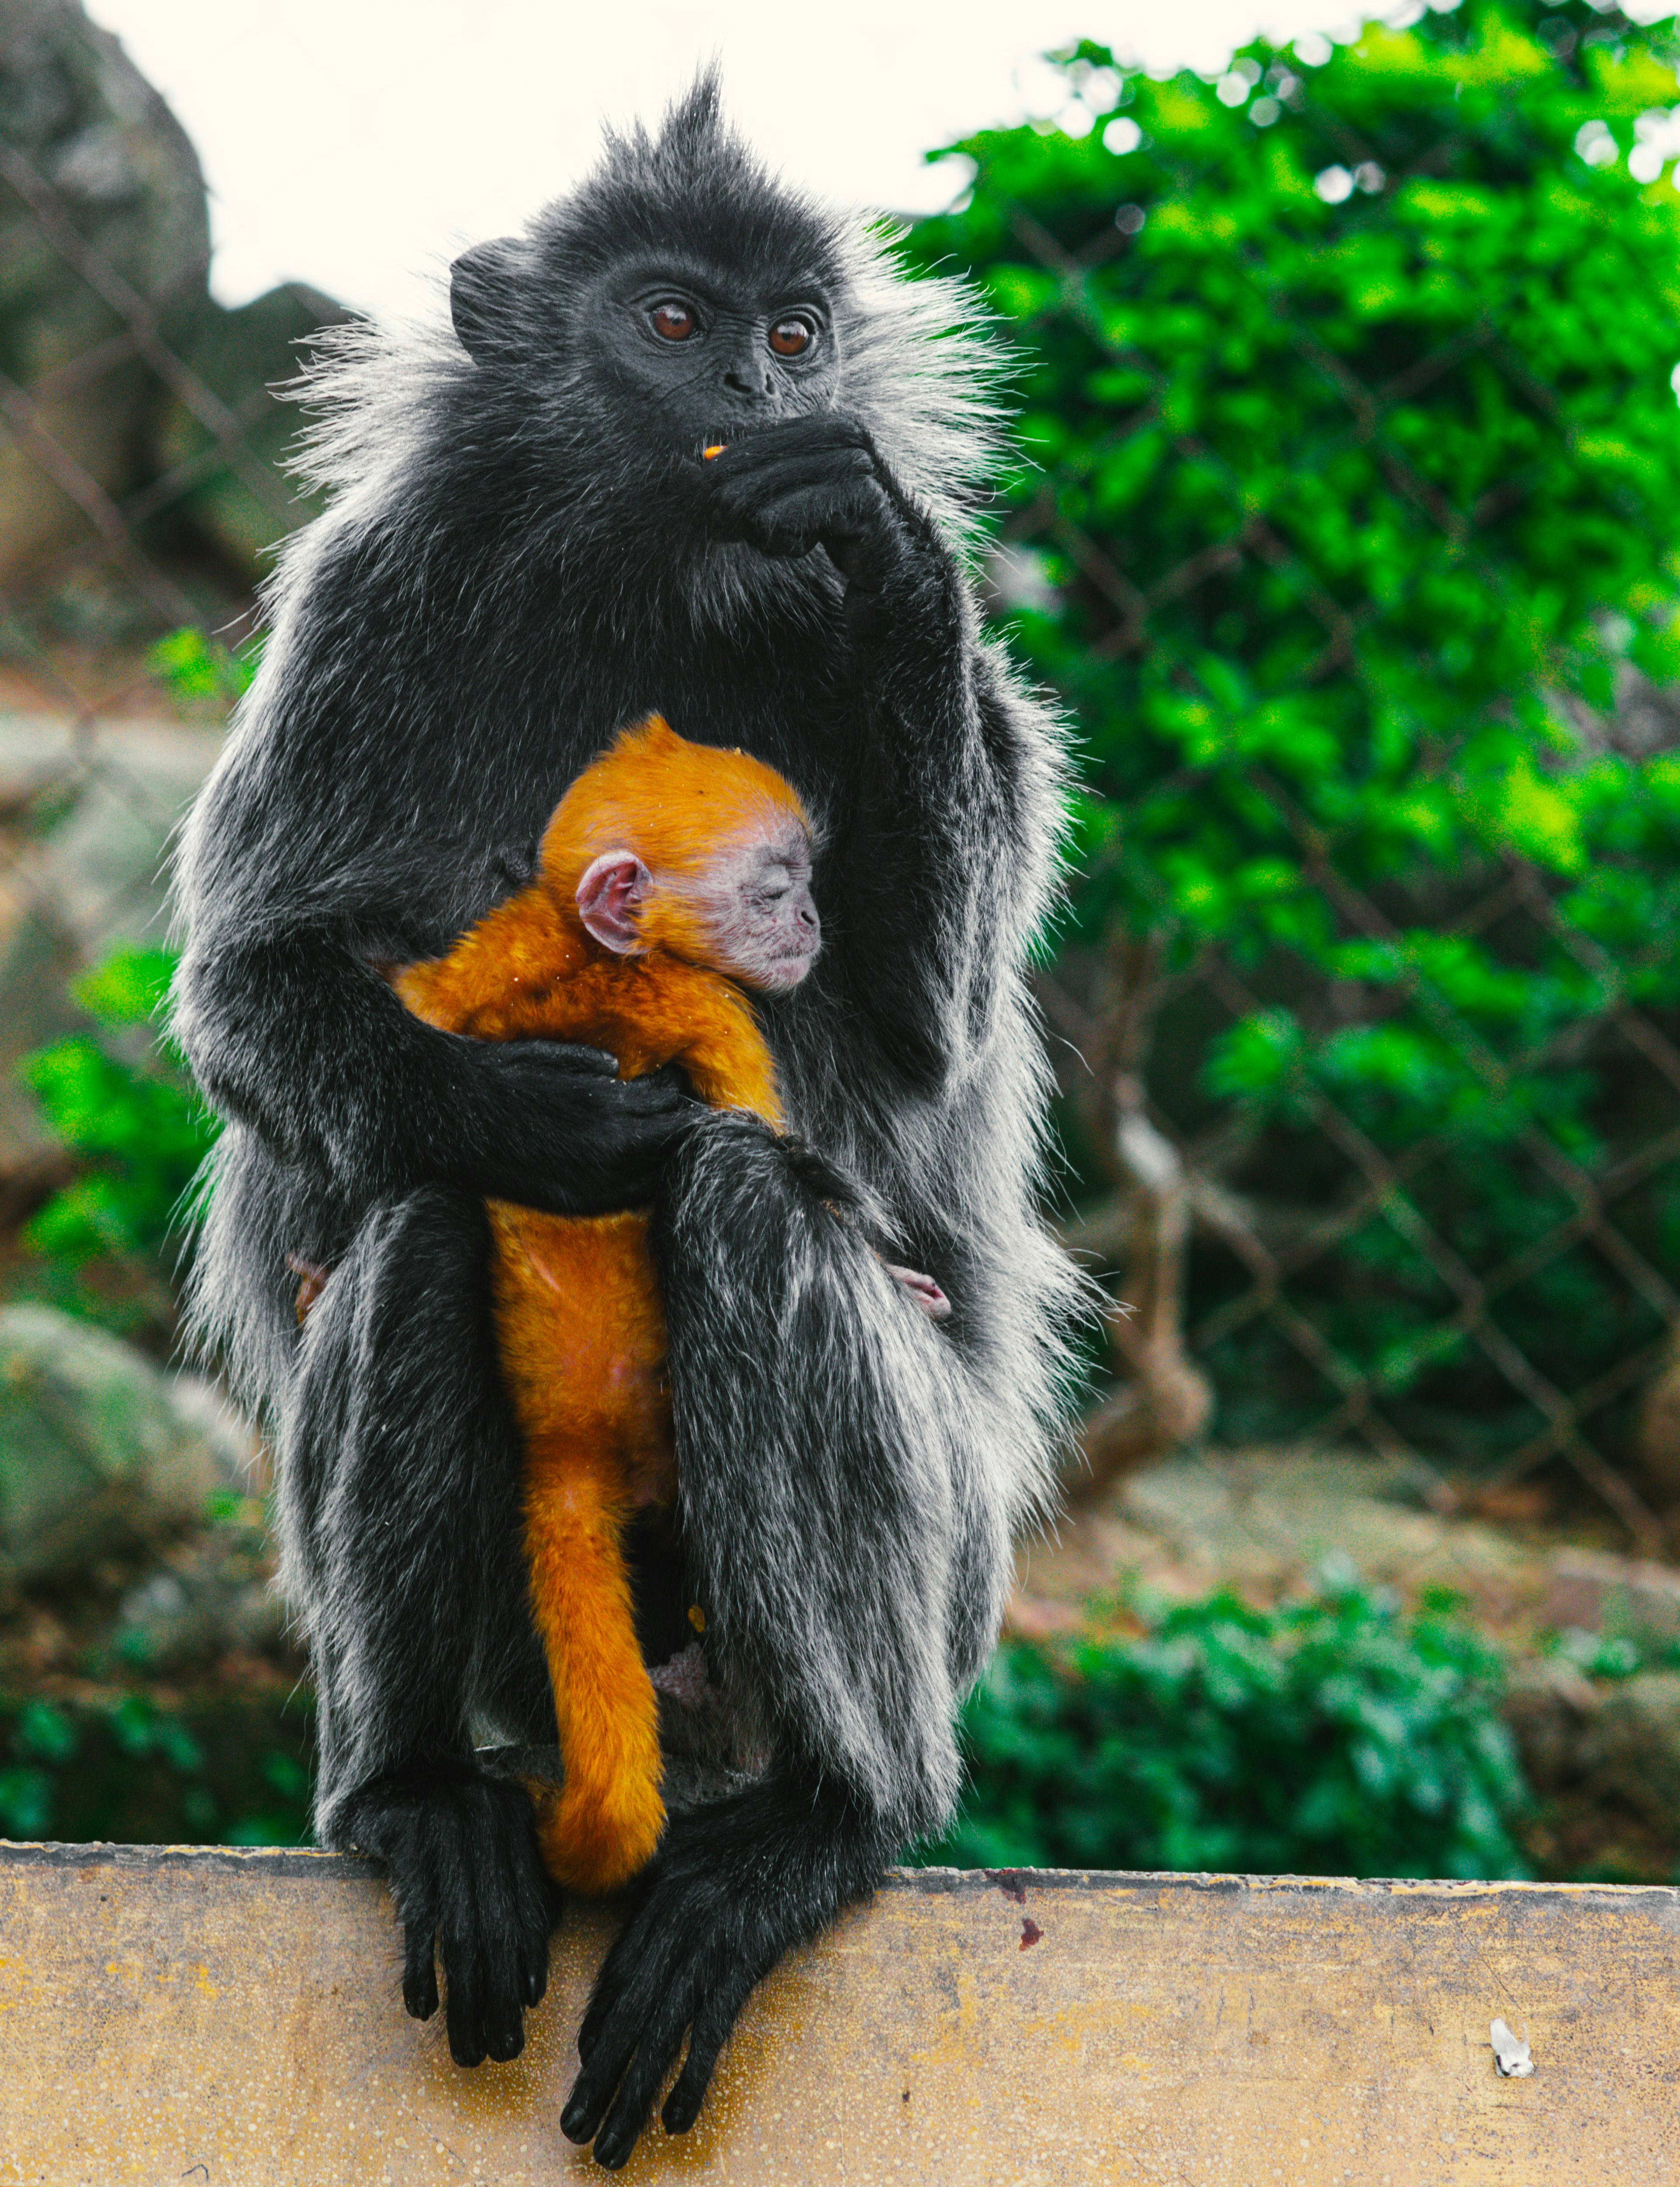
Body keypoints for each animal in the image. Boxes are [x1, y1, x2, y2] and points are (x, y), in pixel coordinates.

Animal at [172, 74, 1079, 2171]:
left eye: (797, 333)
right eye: (671, 323)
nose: (753, 386)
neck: (659, 575)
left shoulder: (972, 710)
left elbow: (926, 1037)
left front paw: (883, 550)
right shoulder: (374, 592)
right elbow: (248, 983)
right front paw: (555, 1122)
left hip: (949, 1580)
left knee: (751, 1206)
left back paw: (828, 1822)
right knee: (427, 1210)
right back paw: (418, 1796)